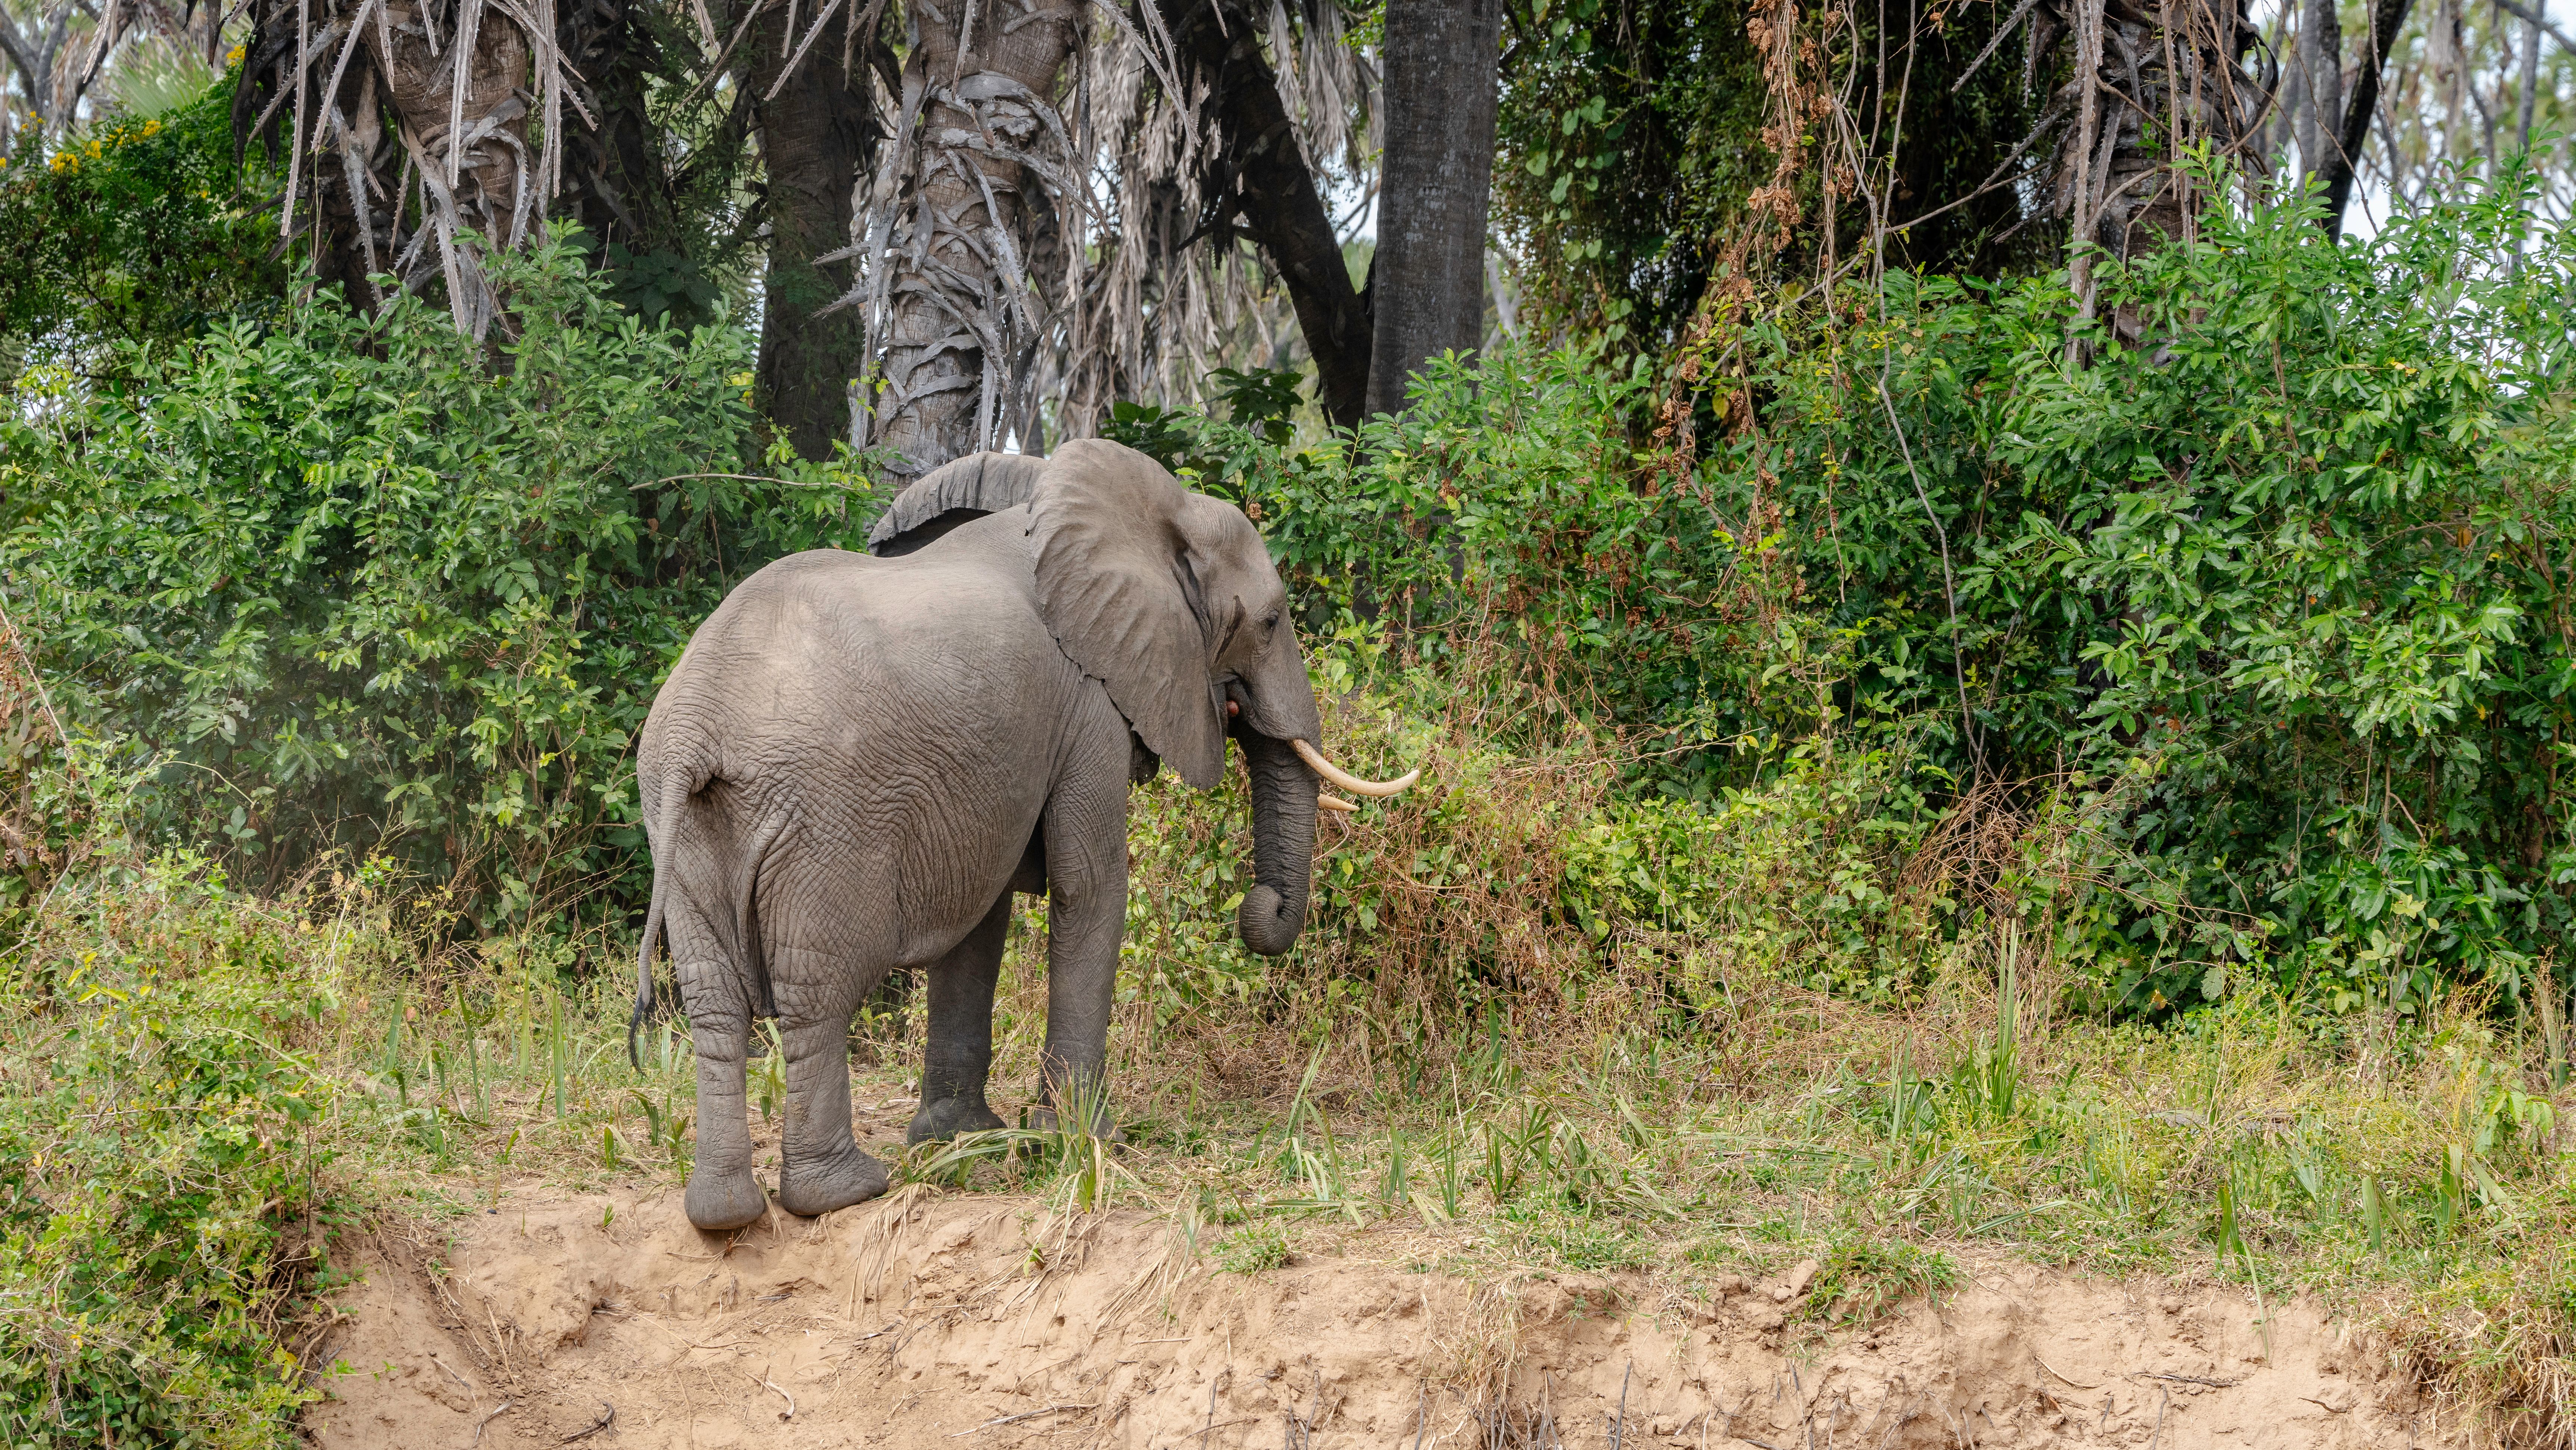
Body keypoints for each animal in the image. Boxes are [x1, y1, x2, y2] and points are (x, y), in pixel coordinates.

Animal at [628, 438, 1417, 1232]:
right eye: (1272, 620)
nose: (1261, 906)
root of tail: (698, 727)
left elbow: (983, 915)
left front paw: (962, 1139)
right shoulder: (1089, 705)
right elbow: (1090, 884)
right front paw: (1087, 1140)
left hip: (686, 823)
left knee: (715, 1001)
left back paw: (724, 1213)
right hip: (822, 820)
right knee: (814, 993)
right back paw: (844, 1191)